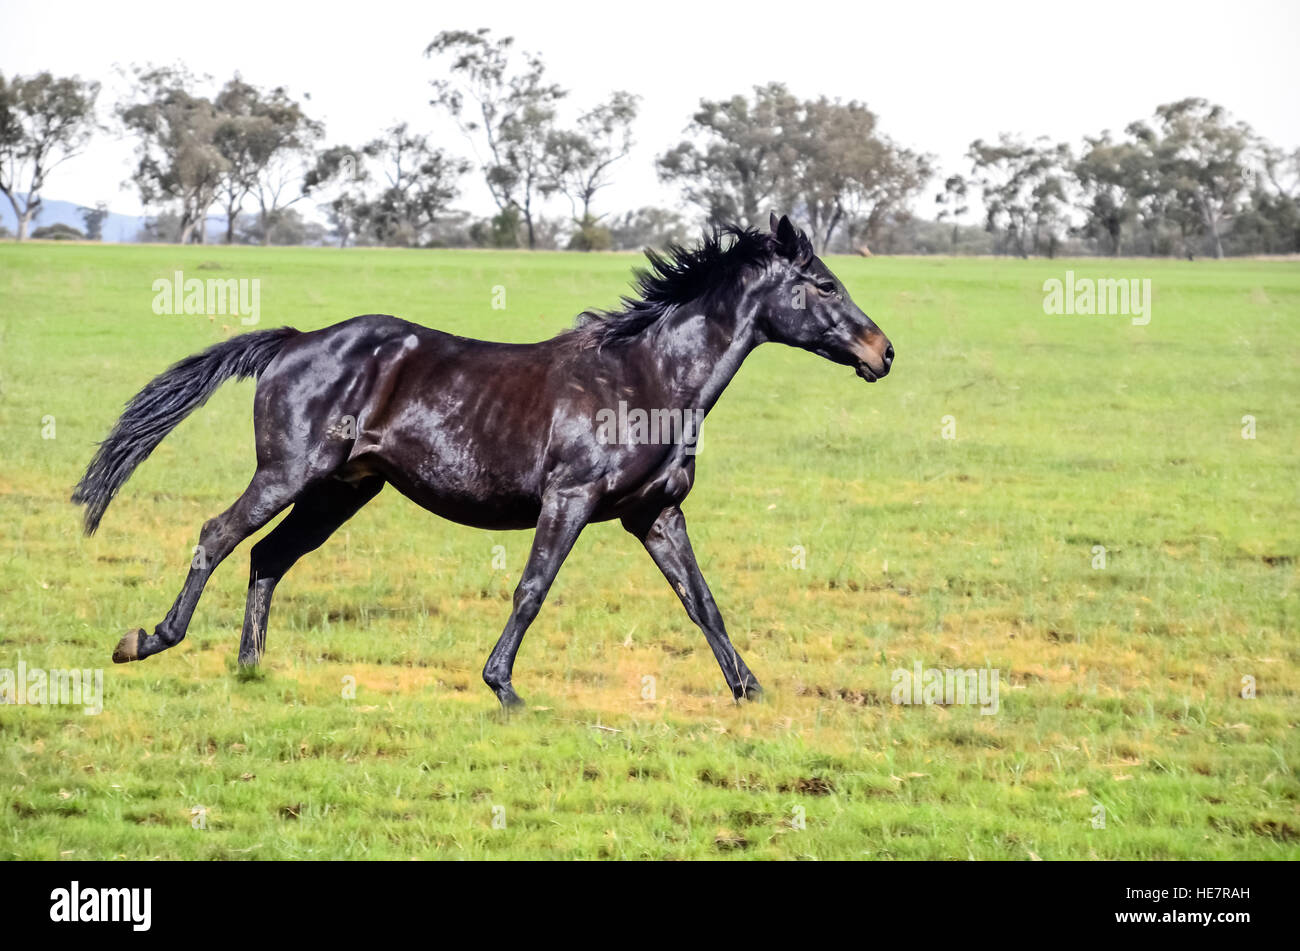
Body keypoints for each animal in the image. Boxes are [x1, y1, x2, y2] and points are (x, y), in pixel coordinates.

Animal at [73, 214, 893, 708]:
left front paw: (749, 689)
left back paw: (251, 666)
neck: (646, 377)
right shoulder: (570, 500)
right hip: (289, 474)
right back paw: (146, 640)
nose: (883, 352)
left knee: (267, 556)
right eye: (825, 284)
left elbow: (703, 602)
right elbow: (532, 590)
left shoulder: (656, 514)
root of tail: (295, 340)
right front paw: (503, 687)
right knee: (218, 535)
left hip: (342, 490)